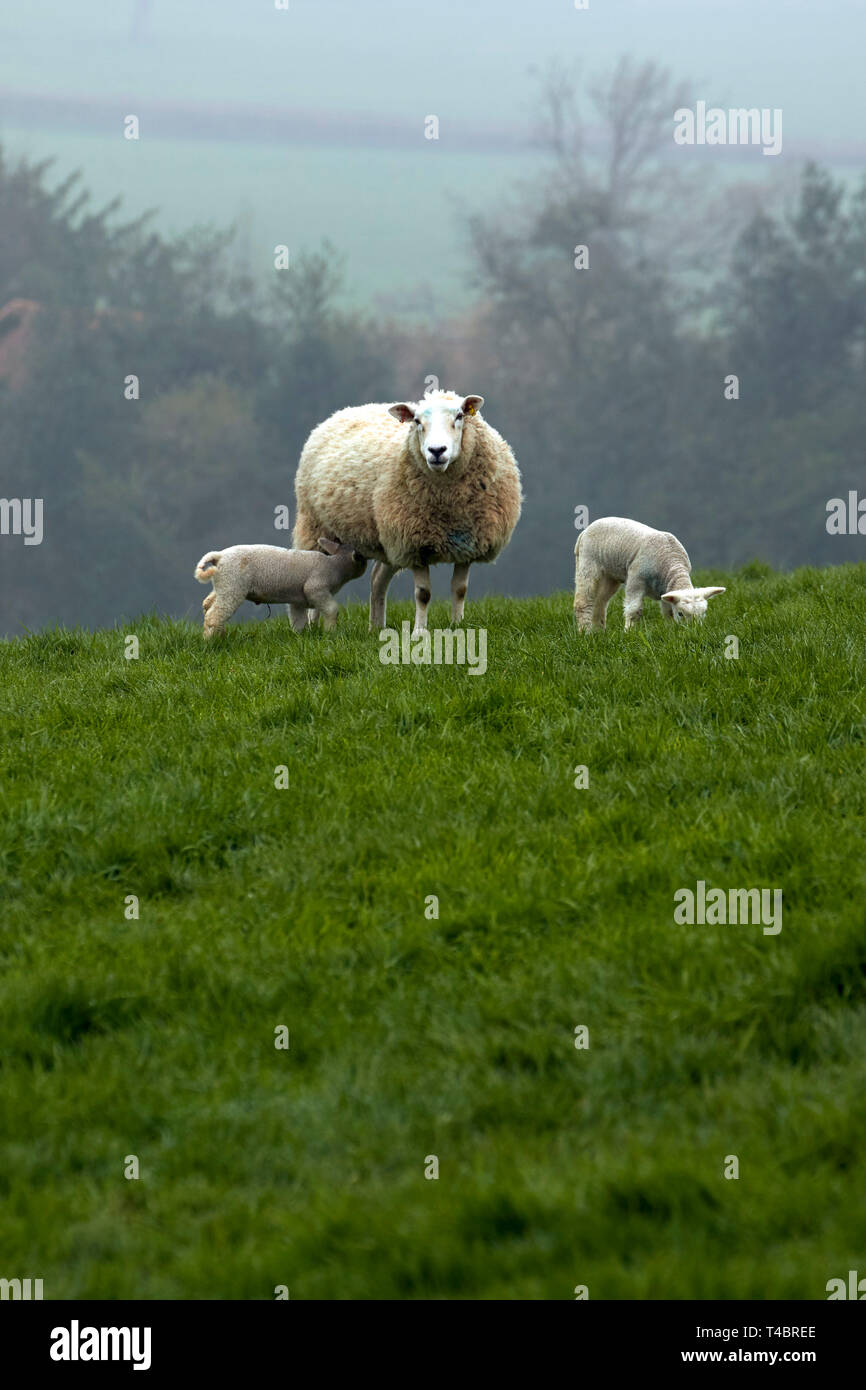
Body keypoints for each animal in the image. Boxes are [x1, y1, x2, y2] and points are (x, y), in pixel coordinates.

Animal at [194, 538, 367, 639]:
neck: (334, 565)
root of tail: (219, 556)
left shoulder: (298, 600)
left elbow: (298, 619)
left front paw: (299, 637)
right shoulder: (316, 588)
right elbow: (332, 609)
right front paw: (331, 632)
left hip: (223, 584)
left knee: (208, 604)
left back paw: (218, 633)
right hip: (233, 585)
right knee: (215, 615)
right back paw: (211, 641)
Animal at [293, 389, 522, 634]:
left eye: (459, 416)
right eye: (417, 421)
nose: (437, 451)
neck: (449, 503)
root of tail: (342, 411)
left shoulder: (468, 544)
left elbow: (460, 590)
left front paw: (458, 625)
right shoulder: (415, 545)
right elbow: (423, 594)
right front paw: (419, 632)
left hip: (386, 542)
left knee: (377, 579)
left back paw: (376, 627)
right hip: (316, 529)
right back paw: (313, 626)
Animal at [574, 517, 726, 631]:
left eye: (703, 613)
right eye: (681, 614)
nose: (694, 631)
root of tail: (584, 532)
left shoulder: (666, 590)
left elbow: (668, 612)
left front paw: (671, 629)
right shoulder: (636, 578)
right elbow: (634, 609)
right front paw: (630, 632)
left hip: (610, 576)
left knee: (600, 601)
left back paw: (598, 631)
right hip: (588, 564)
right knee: (583, 601)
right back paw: (585, 633)